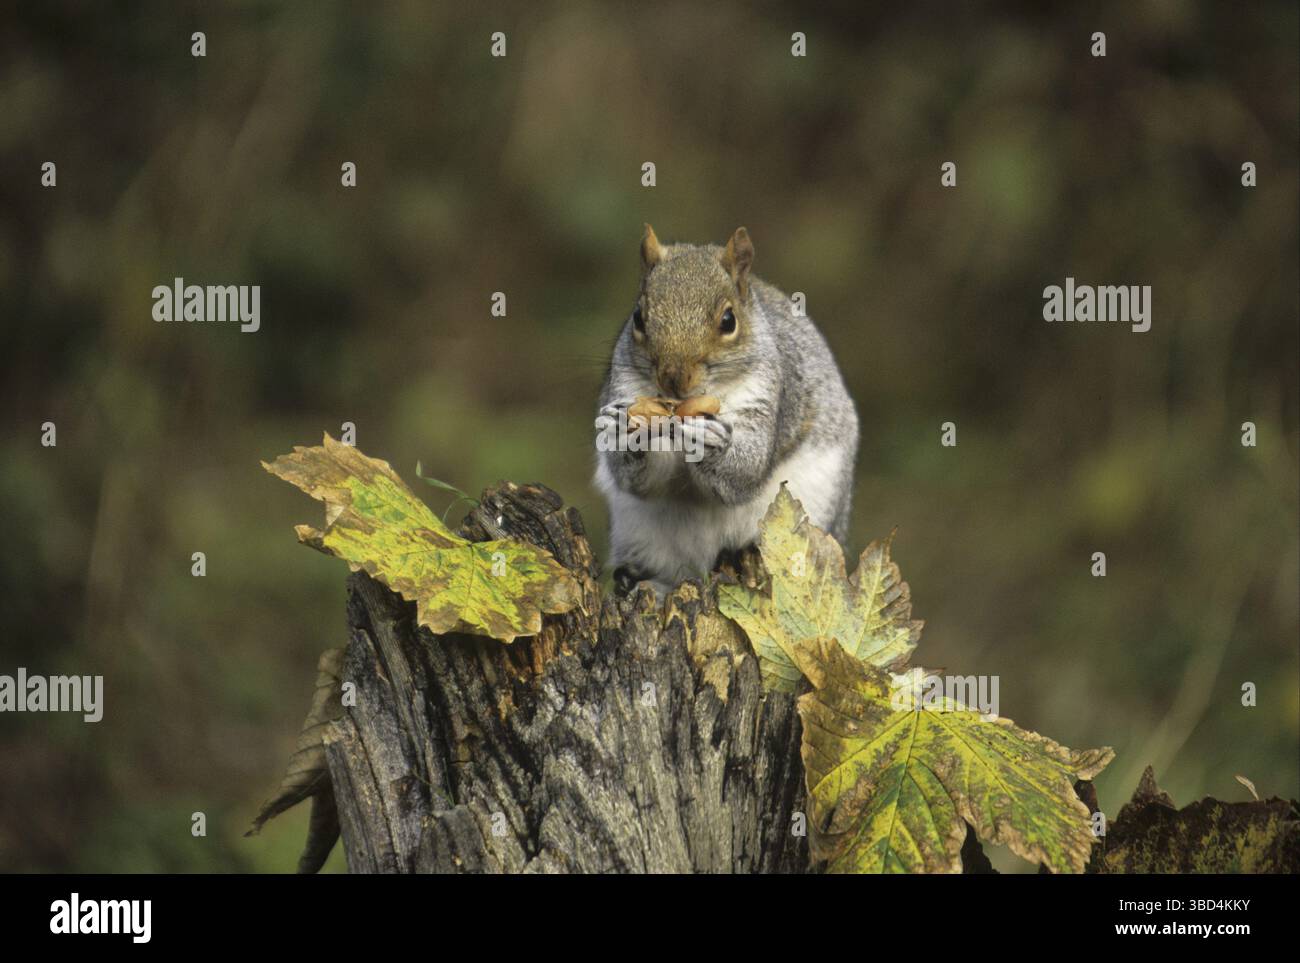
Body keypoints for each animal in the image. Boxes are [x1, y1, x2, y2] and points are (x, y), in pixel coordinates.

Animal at [594, 224, 860, 597]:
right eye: (638, 318)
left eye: (728, 320)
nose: (673, 379)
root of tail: (700, 571)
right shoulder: (625, 388)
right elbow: (640, 481)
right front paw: (622, 431)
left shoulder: (771, 396)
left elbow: (746, 471)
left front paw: (711, 442)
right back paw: (641, 581)